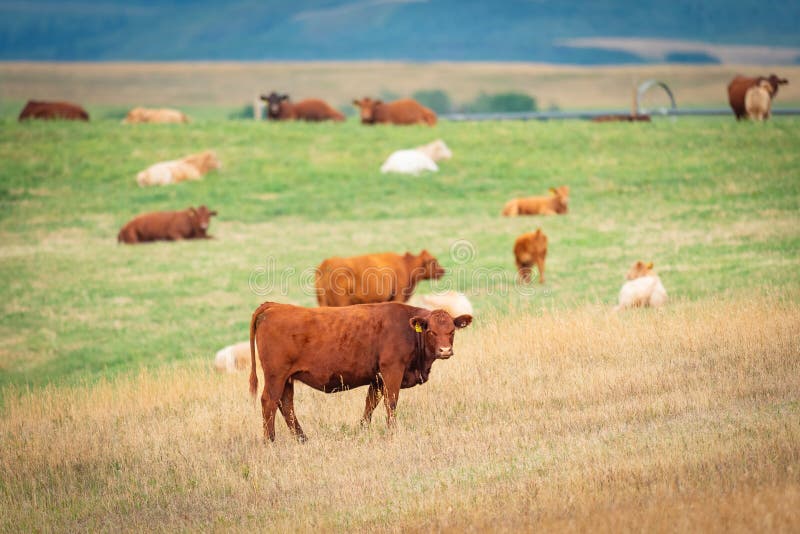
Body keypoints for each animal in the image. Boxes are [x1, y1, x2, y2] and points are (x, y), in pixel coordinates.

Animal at [249, 301, 473, 441]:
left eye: (452, 331)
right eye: (431, 331)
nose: (445, 350)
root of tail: (274, 306)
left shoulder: (377, 379)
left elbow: (370, 404)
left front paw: (363, 430)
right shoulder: (392, 370)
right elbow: (391, 403)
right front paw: (392, 433)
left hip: (287, 379)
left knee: (286, 405)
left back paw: (302, 439)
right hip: (276, 376)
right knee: (269, 402)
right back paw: (270, 440)